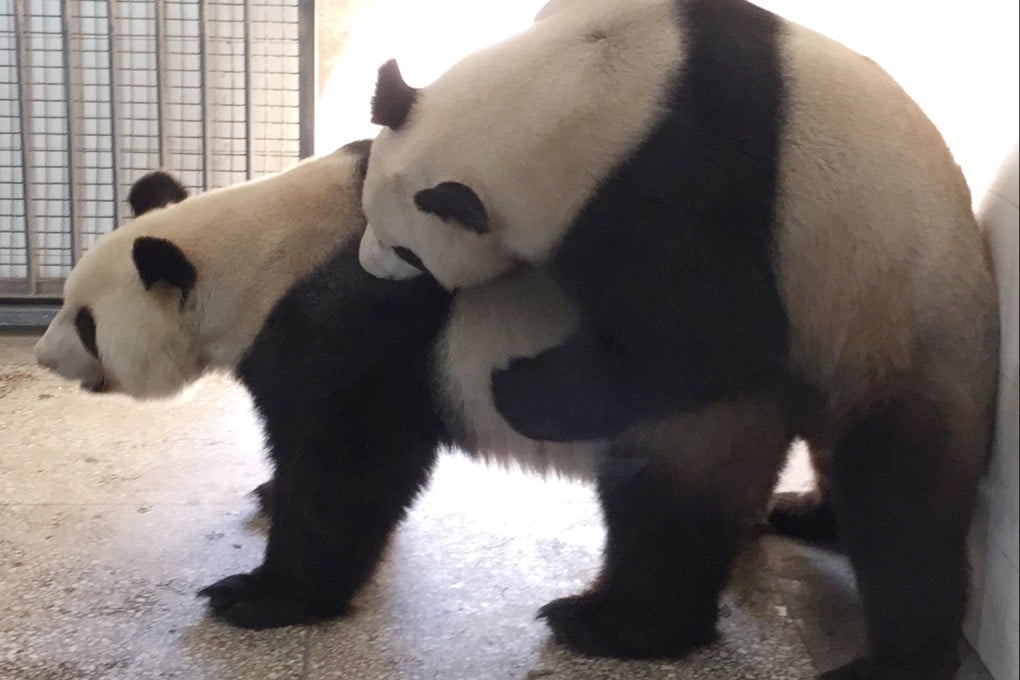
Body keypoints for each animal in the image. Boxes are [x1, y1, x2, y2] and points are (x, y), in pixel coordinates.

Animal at [354, 0, 1000, 678]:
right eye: (370, 209)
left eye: (409, 252)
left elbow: (715, 331)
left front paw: (518, 386)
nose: (369, 267)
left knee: (898, 501)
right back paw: (804, 515)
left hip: (901, 326)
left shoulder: (674, 185)